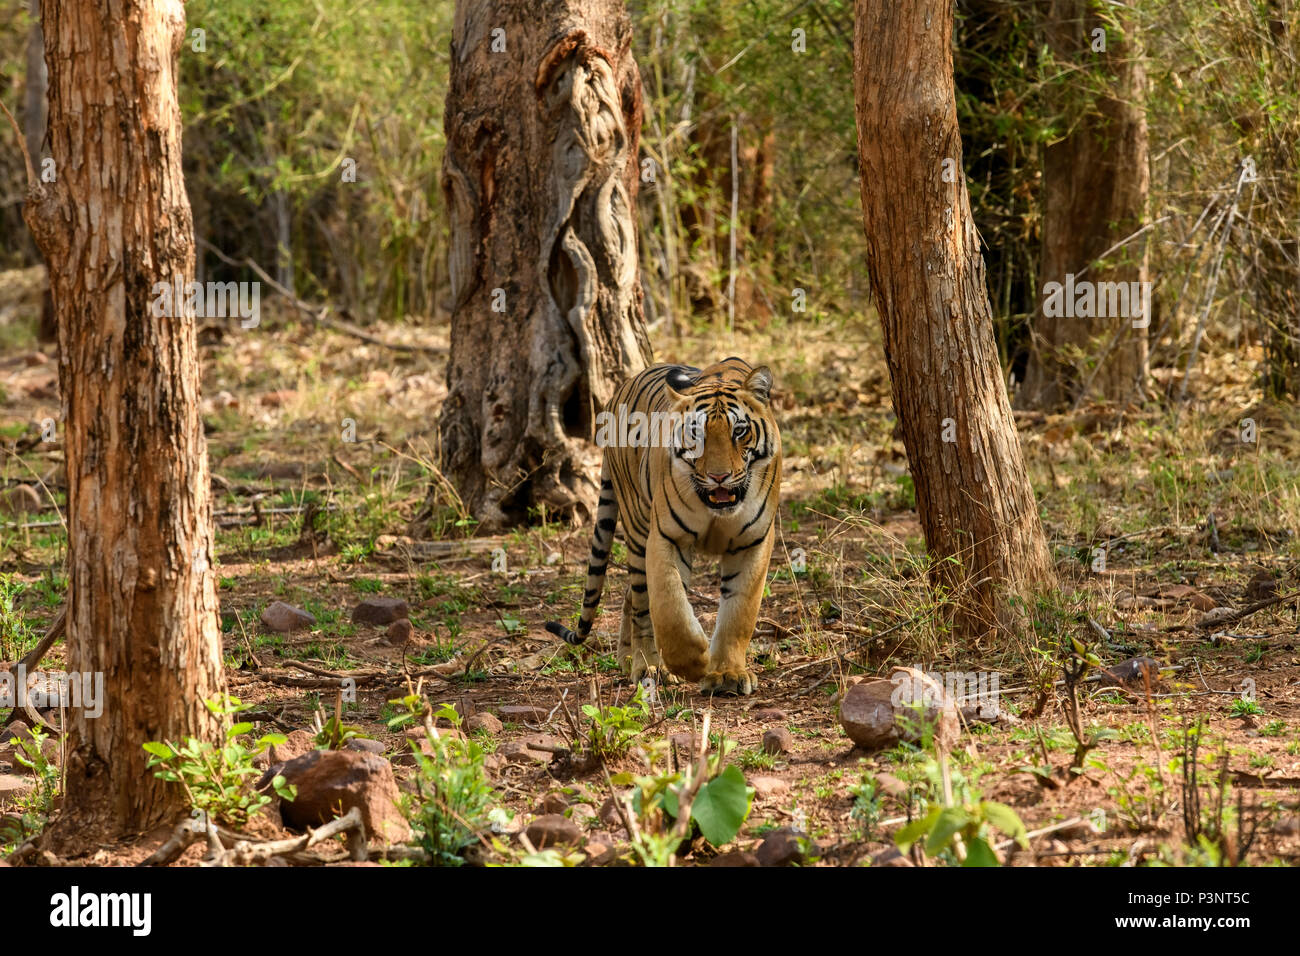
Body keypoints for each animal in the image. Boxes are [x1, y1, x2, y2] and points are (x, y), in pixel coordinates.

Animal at [546, 357, 782, 696]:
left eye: (739, 431)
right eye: (696, 434)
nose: (719, 476)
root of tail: (620, 390)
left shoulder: (753, 541)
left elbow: (739, 613)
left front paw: (728, 674)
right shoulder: (666, 536)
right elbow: (670, 608)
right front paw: (694, 662)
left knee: (631, 598)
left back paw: (626, 658)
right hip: (637, 529)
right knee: (641, 602)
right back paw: (647, 666)